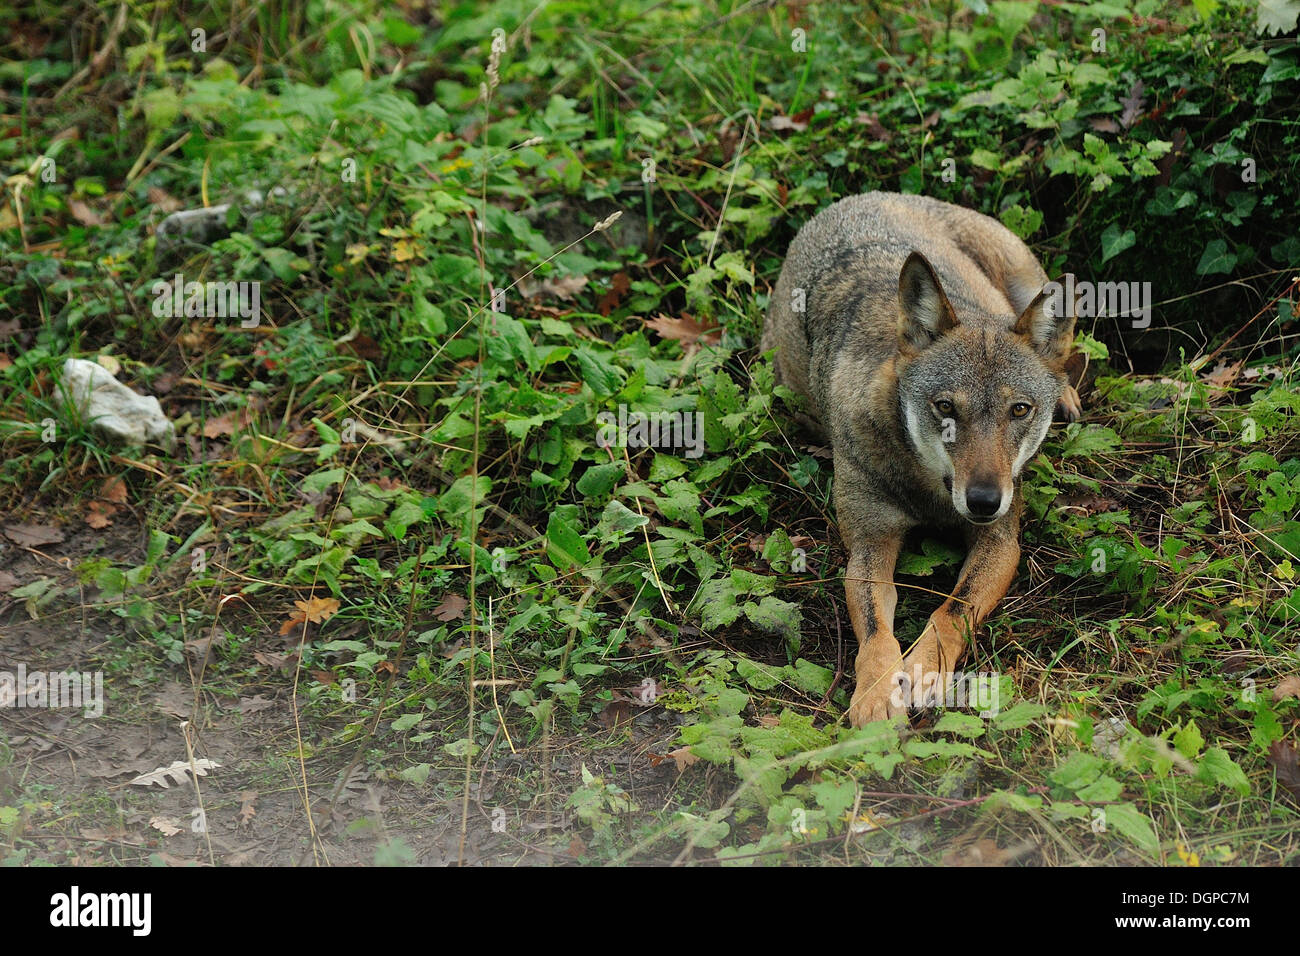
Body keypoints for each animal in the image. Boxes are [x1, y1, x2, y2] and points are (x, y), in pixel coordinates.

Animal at [762, 192, 1081, 726]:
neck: (932, 494)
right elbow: (875, 633)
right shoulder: (868, 546)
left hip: (1026, 277)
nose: (984, 501)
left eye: (1019, 410)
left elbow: (950, 611)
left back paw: (1070, 396)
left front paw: (924, 671)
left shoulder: (1001, 541)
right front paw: (875, 696)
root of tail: (864, 196)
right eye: (946, 408)